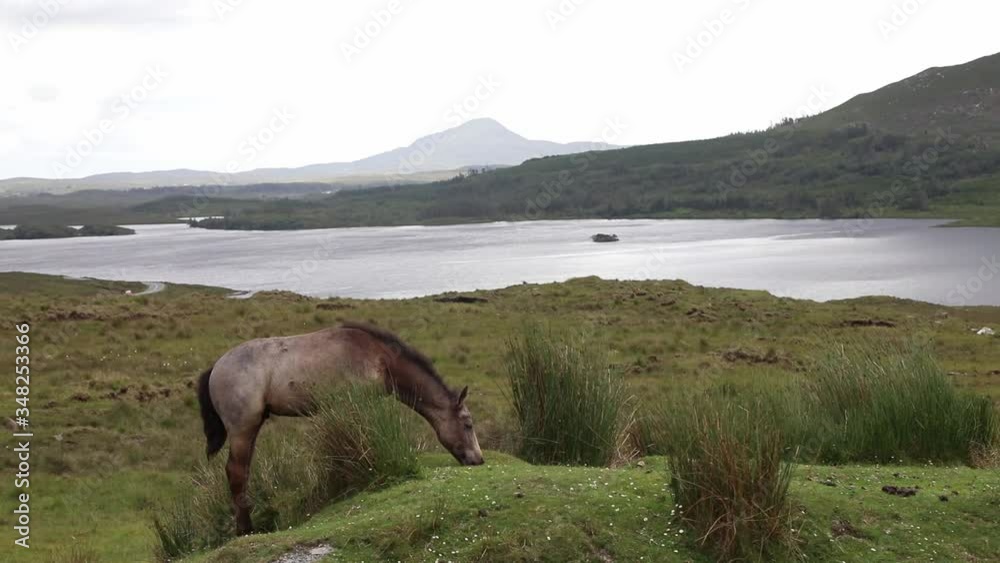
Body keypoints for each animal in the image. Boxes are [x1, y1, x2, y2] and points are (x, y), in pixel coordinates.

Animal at [196, 322, 484, 535]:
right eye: (468, 424)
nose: (479, 460)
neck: (380, 357)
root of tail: (215, 368)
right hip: (243, 429)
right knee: (236, 472)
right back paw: (246, 529)